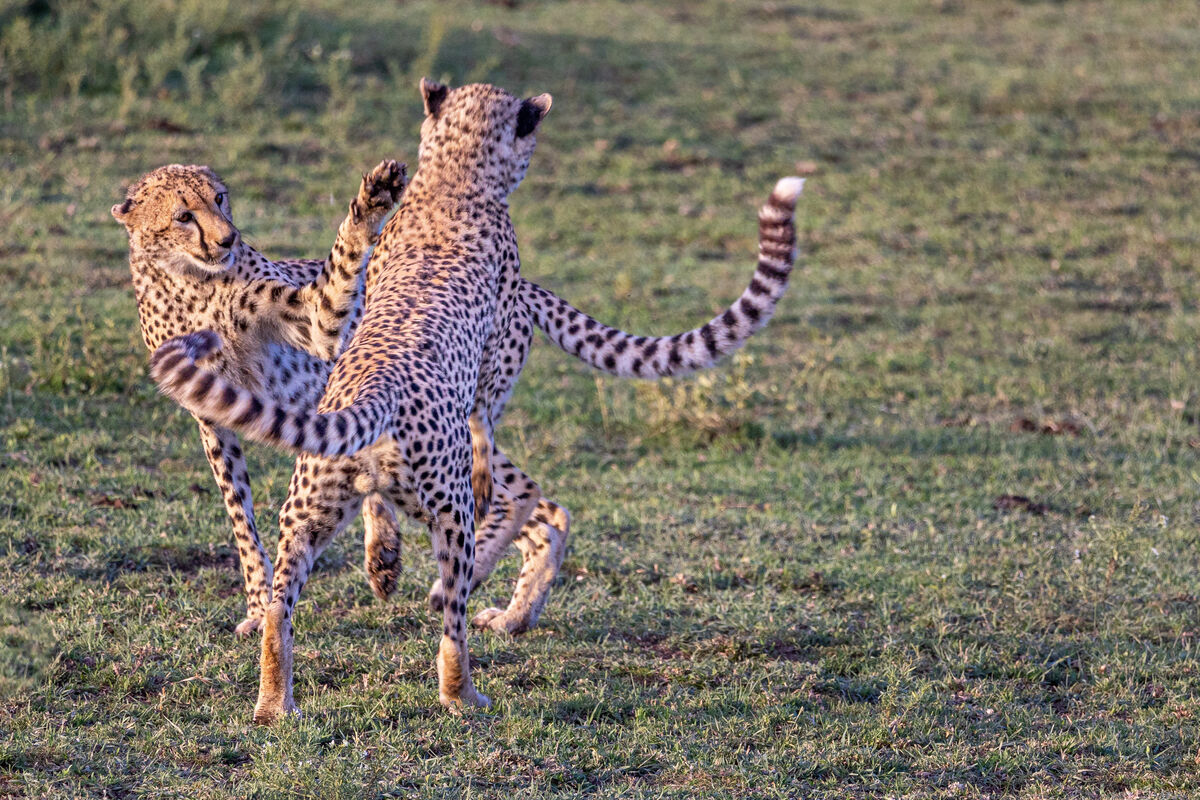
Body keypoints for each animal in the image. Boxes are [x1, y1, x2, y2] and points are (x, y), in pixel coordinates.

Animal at [112, 158, 407, 636]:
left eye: (218, 198)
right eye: (183, 215)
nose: (227, 239)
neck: (190, 280)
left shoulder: (316, 325)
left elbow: (339, 268)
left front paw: (372, 201)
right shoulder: (211, 414)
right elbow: (240, 516)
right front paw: (256, 606)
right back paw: (383, 555)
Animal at [149, 79, 804, 722]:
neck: (452, 181)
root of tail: (377, 391)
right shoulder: (492, 364)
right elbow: (487, 431)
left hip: (307, 512)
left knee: (283, 607)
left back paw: (275, 699)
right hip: (444, 506)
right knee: (461, 604)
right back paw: (462, 687)